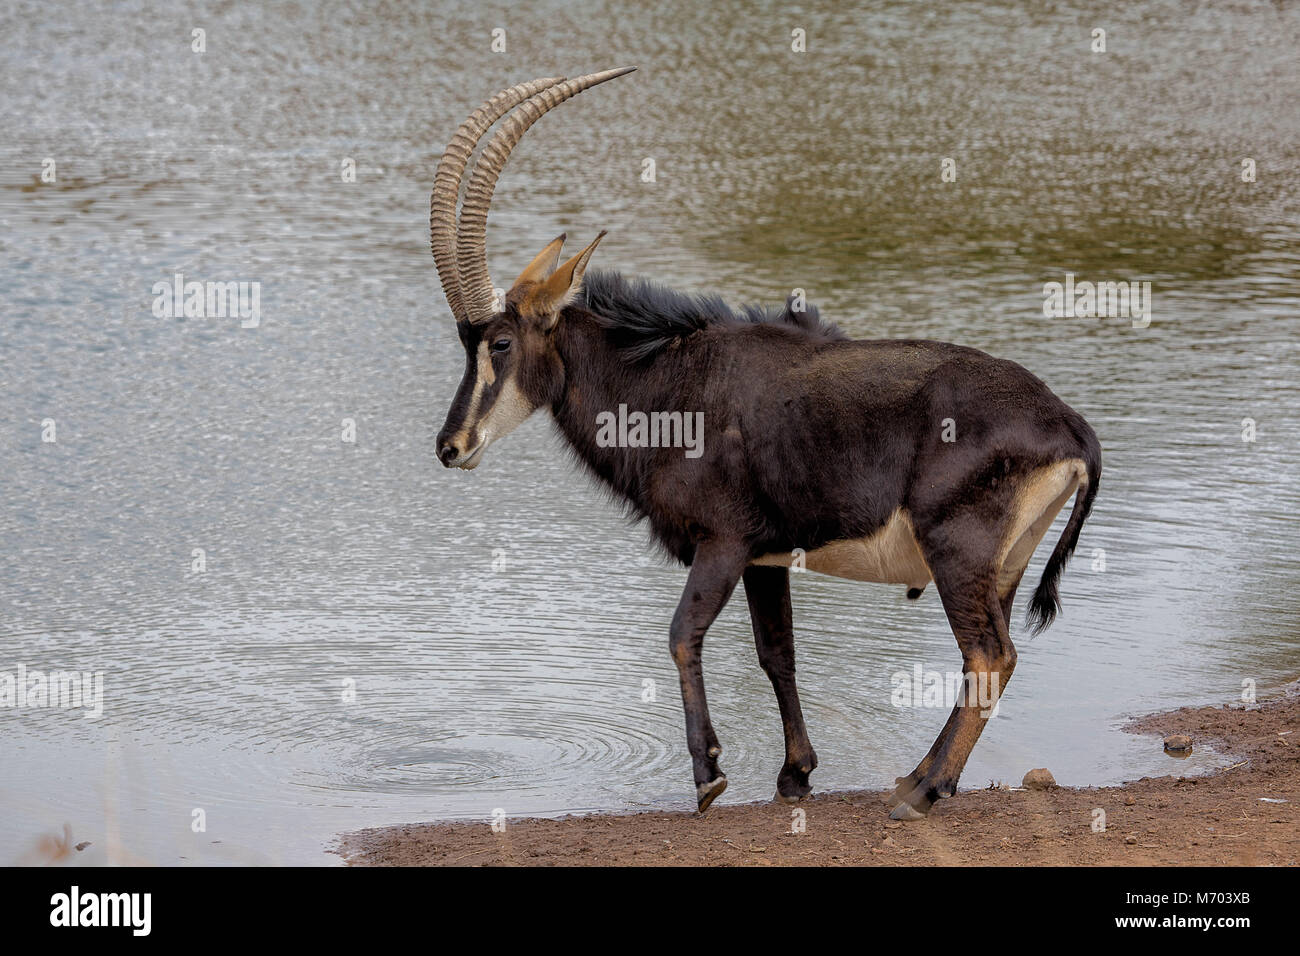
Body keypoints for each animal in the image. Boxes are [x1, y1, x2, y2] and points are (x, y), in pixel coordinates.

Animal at [429, 68, 1101, 820]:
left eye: (500, 343)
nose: (450, 446)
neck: (671, 381)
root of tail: (1069, 424)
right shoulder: (765, 556)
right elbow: (777, 652)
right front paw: (795, 774)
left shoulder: (723, 542)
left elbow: (682, 635)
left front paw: (708, 775)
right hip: (1003, 567)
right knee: (987, 660)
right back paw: (923, 778)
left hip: (958, 554)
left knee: (990, 655)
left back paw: (920, 792)